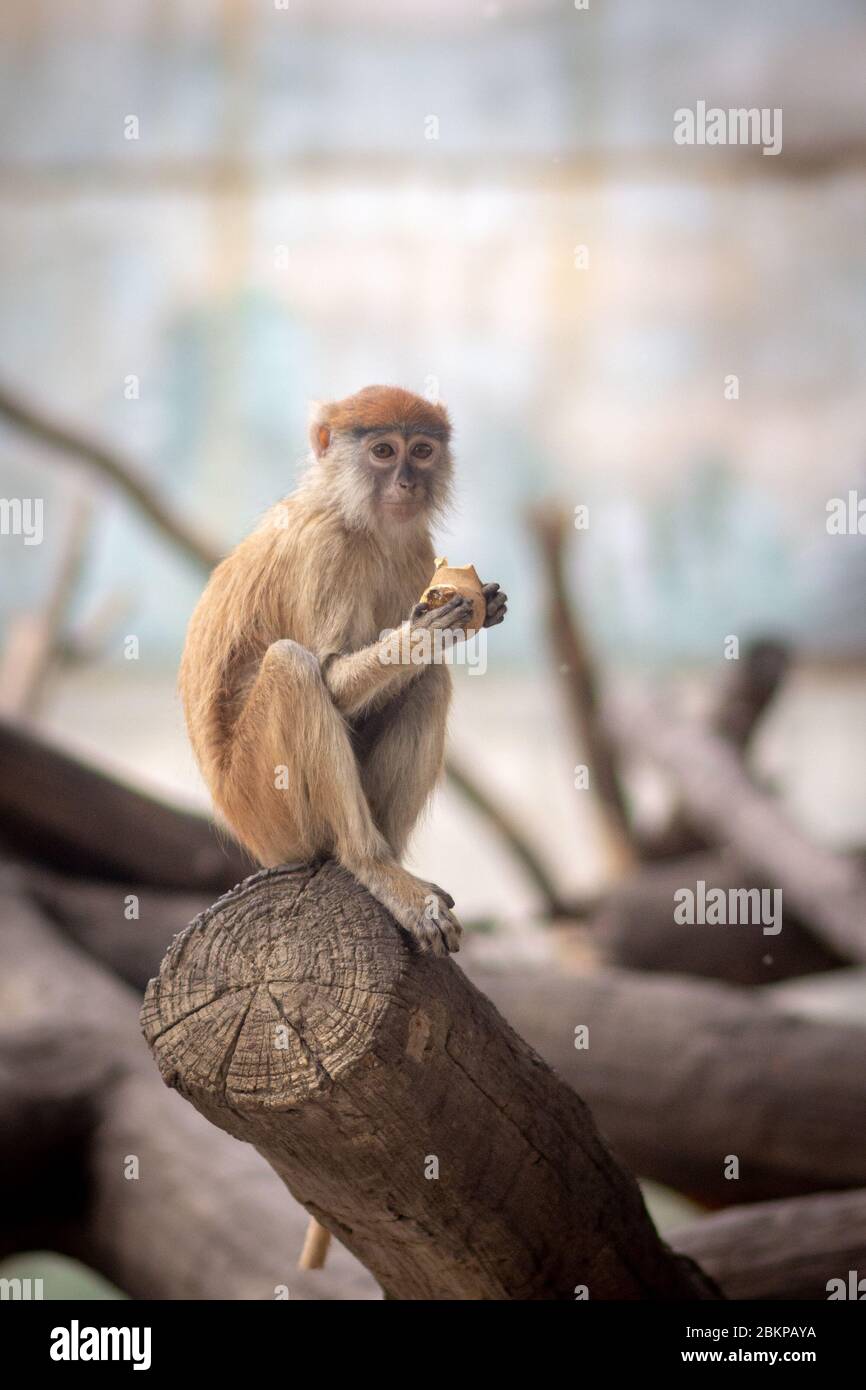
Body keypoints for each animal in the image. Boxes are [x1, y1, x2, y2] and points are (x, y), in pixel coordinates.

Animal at [179, 386, 508, 1267]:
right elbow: (323, 671)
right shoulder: (326, 550)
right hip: (268, 802)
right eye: (382, 450)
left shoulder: (413, 545)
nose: (407, 482)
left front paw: (474, 611)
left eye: (421, 450)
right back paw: (366, 863)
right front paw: (441, 622)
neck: (356, 512)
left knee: (427, 686)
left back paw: (390, 857)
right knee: (294, 669)